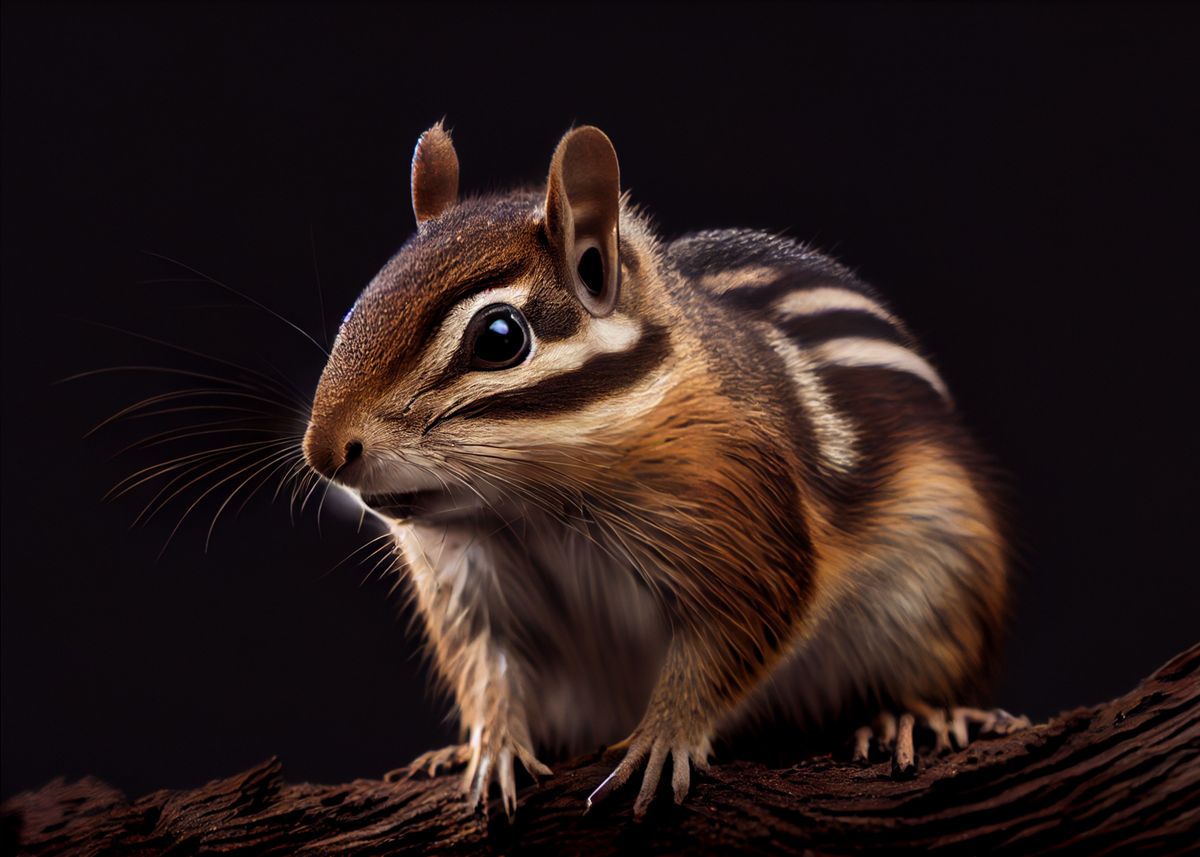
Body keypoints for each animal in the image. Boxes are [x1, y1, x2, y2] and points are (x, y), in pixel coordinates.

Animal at [302, 122, 1027, 819]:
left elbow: (732, 636)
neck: (530, 512)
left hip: (942, 585)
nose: (324, 451)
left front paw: (662, 736)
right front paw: (490, 747)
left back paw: (910, 717)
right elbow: (488, 667)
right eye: (363, 303)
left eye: (499, 338)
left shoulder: (744, 518)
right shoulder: (471, 590)